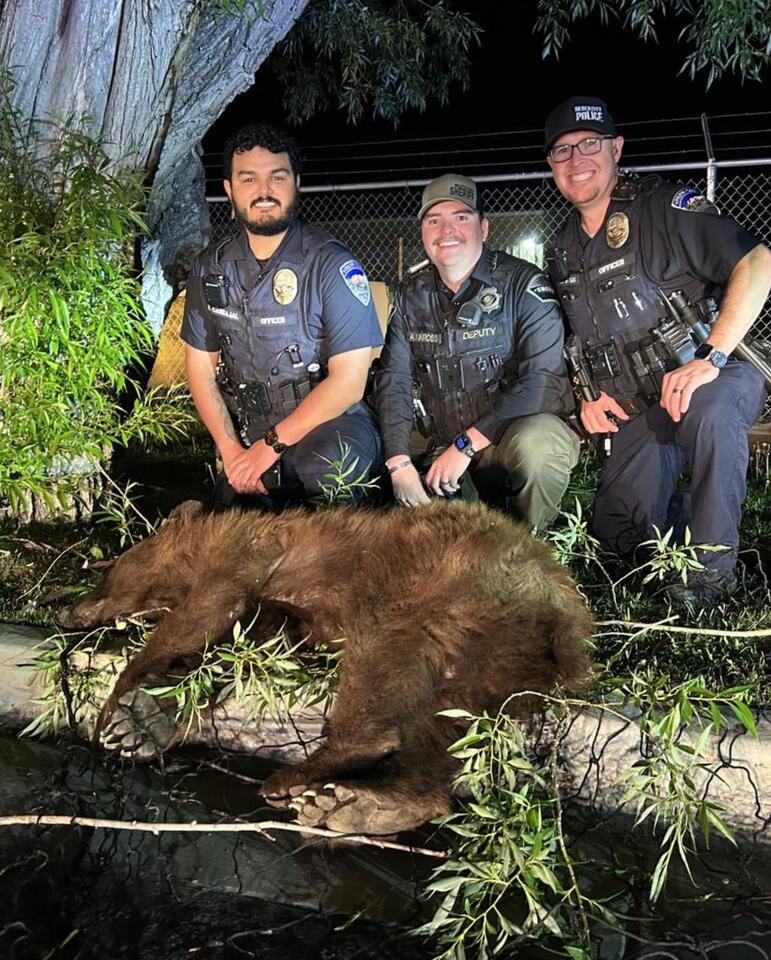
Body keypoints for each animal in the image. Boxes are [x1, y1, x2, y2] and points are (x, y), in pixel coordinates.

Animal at [59, 501, 593, 835]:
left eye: (109, 570)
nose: (70, 610)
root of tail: (570, 625)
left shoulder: (246, 557)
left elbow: (206, 611)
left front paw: (117, 709)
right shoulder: (283, 611)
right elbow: (250, 643)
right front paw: (143, 721)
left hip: (441, 596)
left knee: (382, 679)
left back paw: (301, 782)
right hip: (489, 665)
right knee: (438, 732)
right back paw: (364, 804)